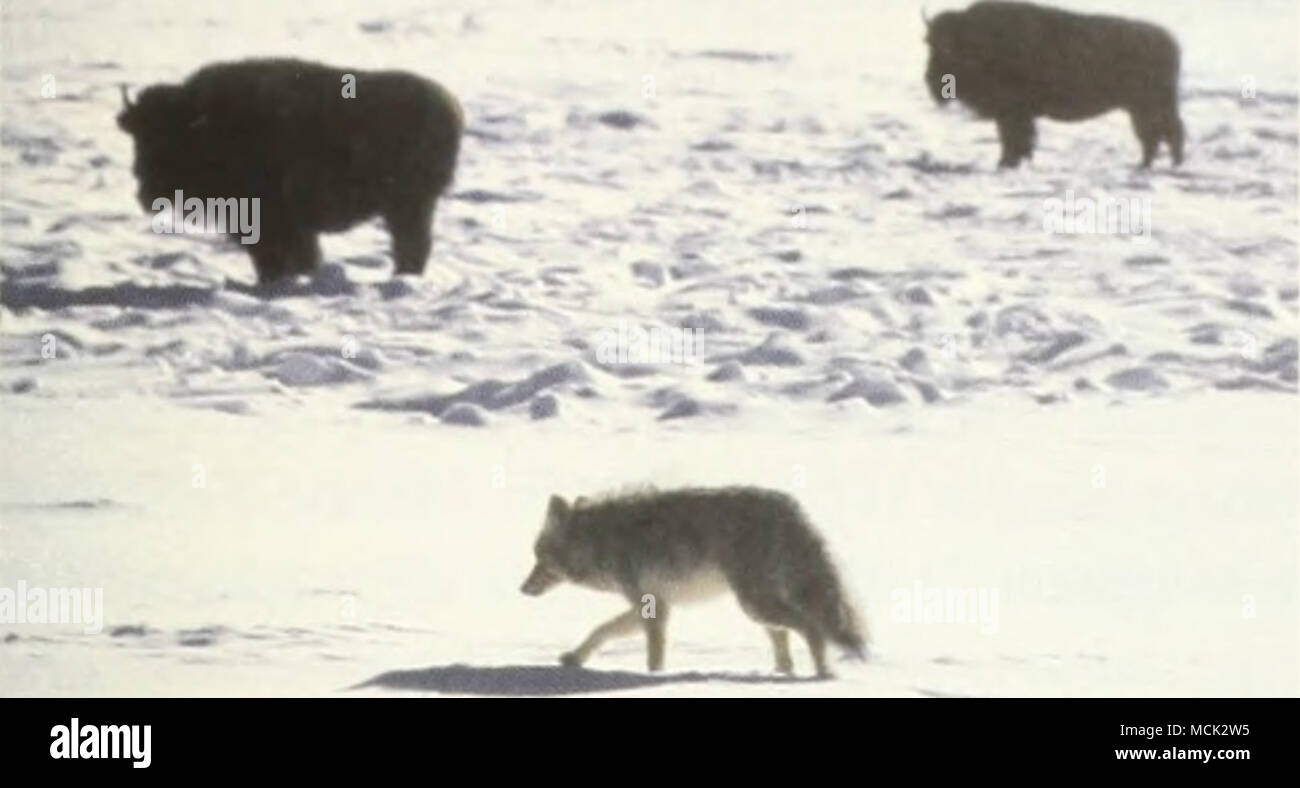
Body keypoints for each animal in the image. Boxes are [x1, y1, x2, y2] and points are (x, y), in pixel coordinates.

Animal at [117, 58, 463, 284]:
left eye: (164, 137)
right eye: (139, 136)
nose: (143, 187)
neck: (204, 123)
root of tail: (451, 107)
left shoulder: (271, 224)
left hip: (408, 205)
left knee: (412, 246)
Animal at [520, 487, 866, 678]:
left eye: (539, 558)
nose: (521, 589)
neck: (602, 540)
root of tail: (791, 508)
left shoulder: (655, 610)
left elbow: (652, 654)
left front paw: (654, 678)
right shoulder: (653, 604)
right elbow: (600, 630)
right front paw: (575, 658)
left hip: (756, 605)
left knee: (811, 627)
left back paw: (820, 674)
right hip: (759, 610)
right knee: (784, 640)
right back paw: (780, 673)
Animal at [924, 1, 1184, 168]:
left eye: (946, 48)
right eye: (928, 43)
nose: (930, 79)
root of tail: (1170, 42)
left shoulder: (1013, 112)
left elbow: (1014, 138)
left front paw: (1007, 163)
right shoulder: (1013, 114)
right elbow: (1016, 138)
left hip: (1149, 107)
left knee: (1166, 134)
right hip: (1141, 108)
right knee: (1157, 136)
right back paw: (1149, 165)